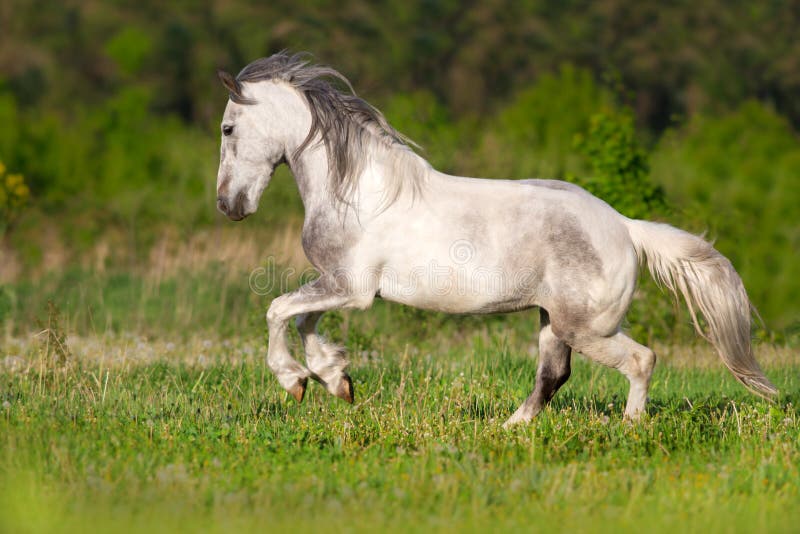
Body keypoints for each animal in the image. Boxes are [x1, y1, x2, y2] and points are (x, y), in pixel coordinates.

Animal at [214, 51, 776, 426]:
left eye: (227, 128)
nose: (228, 205)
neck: (356, 190)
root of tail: (624, 227)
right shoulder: (337, 286)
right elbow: (302, 318)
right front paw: (335, 381)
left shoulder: (350, 289)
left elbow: (278, 310)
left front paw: (295, 381)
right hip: (553, 321)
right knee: (553, 376)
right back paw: (510, 430)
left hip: (585, 327)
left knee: (641, 360)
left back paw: (629, 429)